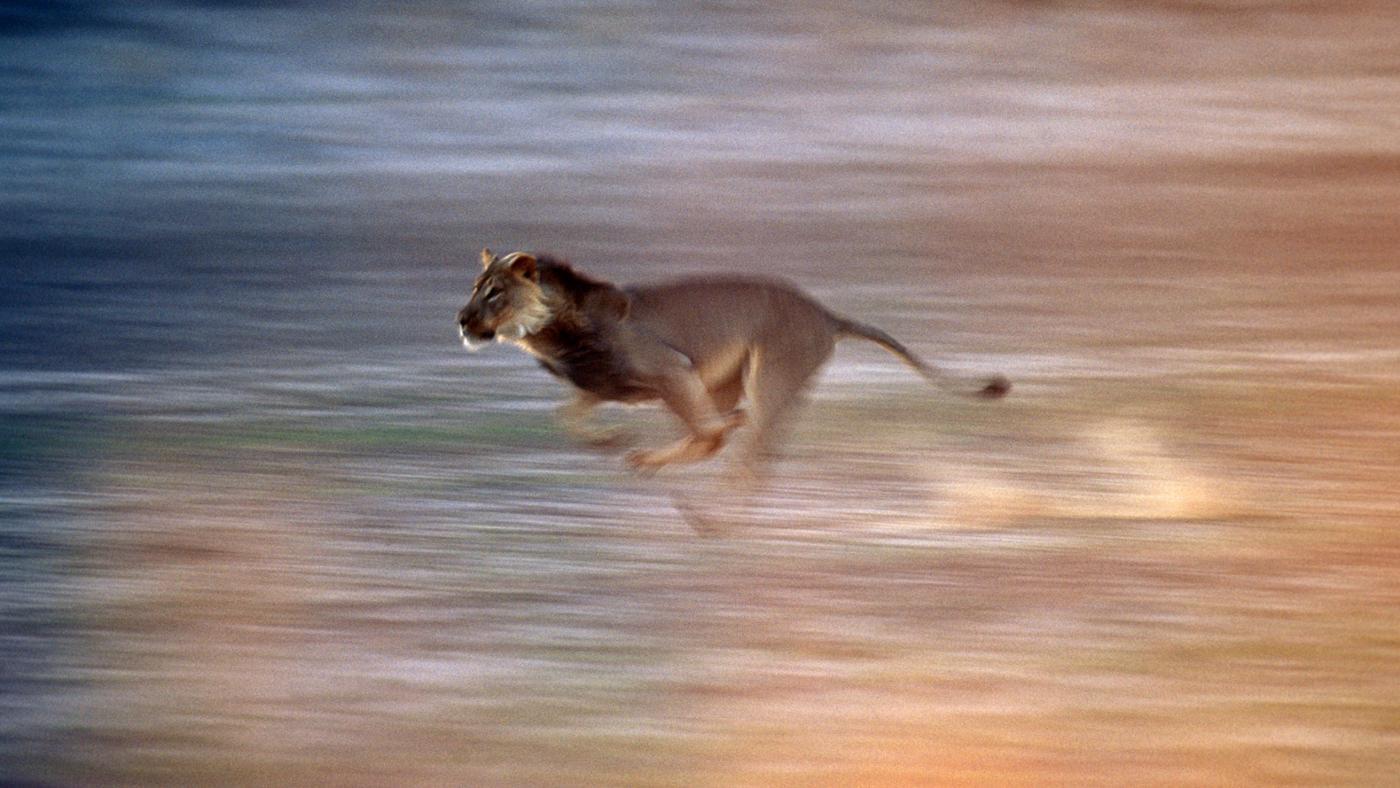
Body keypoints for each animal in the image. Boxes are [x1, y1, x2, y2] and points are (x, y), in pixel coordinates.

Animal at [457, 248, 1008, 478]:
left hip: (768, 372)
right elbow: (565, 416)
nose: (462, 320)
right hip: (723, 377)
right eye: (475, 289)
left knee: (737, 437)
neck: (551, 332)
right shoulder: (603, 383)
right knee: (726, 433)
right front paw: (609, 441)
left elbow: (708, 434)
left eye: (494, 293)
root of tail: (824, 313)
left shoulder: (673, 368)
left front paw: (621, 442)